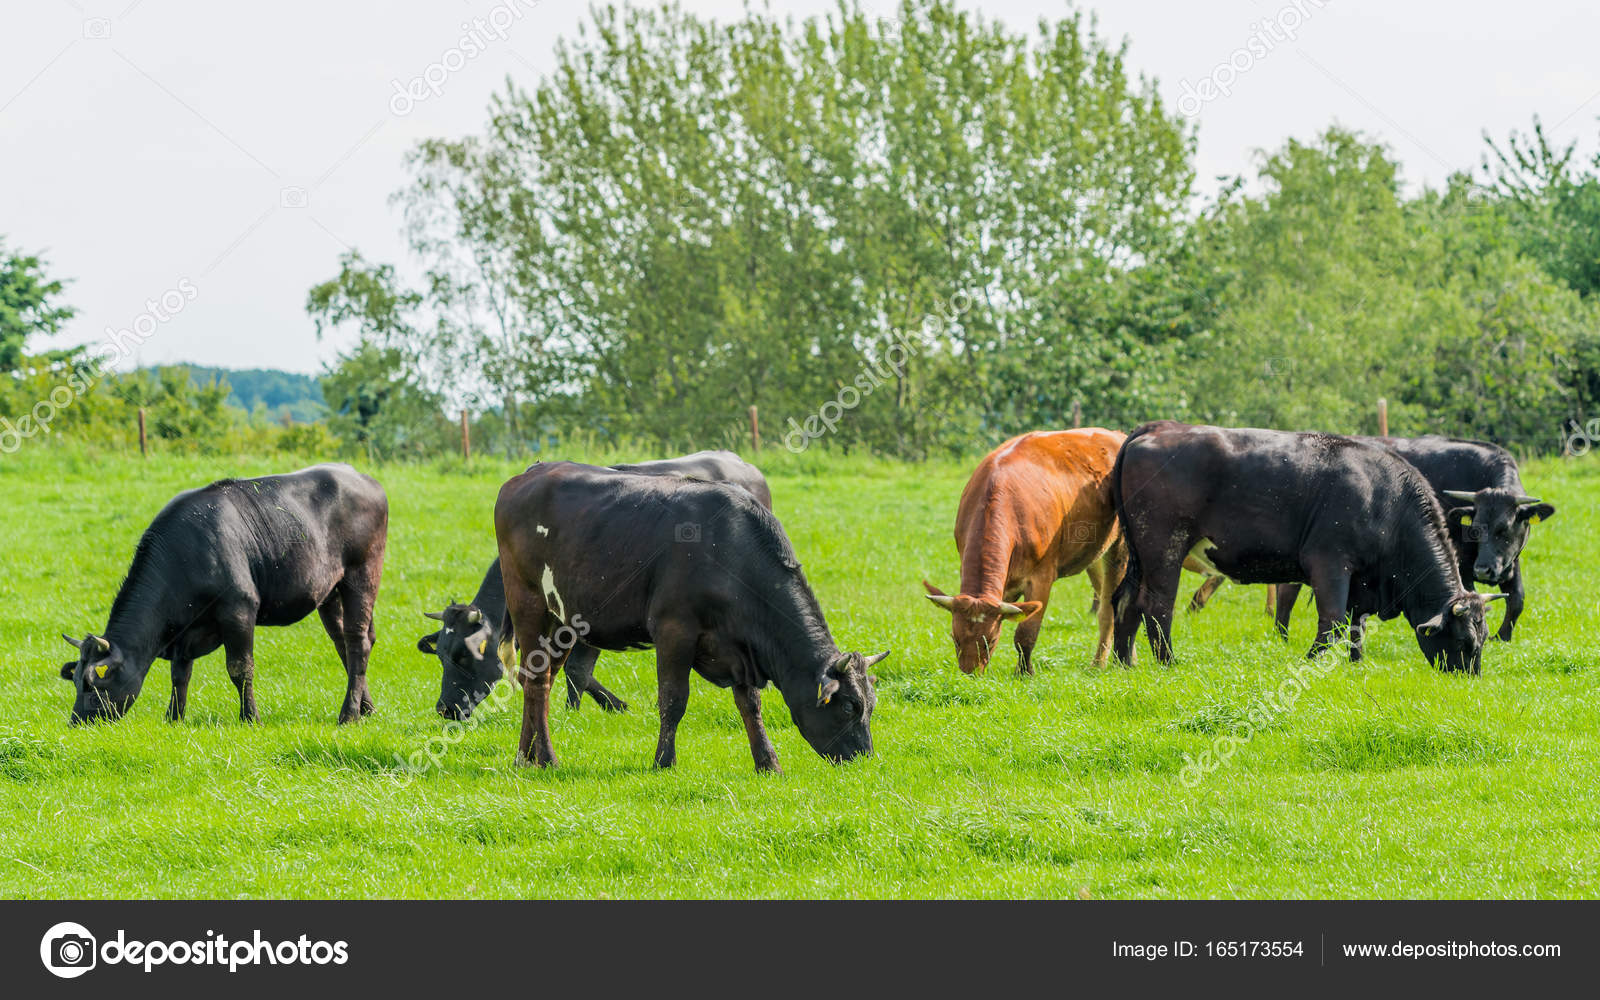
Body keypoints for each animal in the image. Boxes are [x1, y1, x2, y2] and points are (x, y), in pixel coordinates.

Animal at [59, 464, 388, 724]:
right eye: (74, 681)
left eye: (94, 685)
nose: (77, 722)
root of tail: (362, 477)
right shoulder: (184, 631)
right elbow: (179, 674)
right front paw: (174, 718)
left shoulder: (239, 608)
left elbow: (240, 668)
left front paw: (250, 718)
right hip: (330, 592)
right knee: (343, 642)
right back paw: (366, 709)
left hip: (362, 574)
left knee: (357, 642)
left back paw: (348, 715)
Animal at [494, 461, 884, 772]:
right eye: (849, 706)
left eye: (871, 705)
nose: (863, 758)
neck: (729, 551)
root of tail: (531, 472)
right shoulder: (674, 631)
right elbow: (673, 699)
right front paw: (664, 761)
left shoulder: (738, 648)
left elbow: (750, 705)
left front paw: (767, 763)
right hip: (528, 603)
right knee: (537, 681)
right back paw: (546, 758)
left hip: (561, 621)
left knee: (540, 679)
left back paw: (524, 756)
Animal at [922, 429, 1128, 673]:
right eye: (955, 638)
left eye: (991, 640)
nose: (970, 674)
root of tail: (1116, 435)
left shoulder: (1041, 578)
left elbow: (1026, 634)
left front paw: (1024, 672)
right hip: (1095, 555)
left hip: (1120, 548)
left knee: (1110, 610)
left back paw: (1105, 663)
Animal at [1110, 422, 1500, 672]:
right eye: (1465, 643)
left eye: (1483, 639)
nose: (1468, 677)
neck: (1385, 498)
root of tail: (1157, 428)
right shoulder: (1330, 563)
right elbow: (1334, 621)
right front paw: (1311, 663)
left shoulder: (1361, 580)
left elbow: (1356, 625)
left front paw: (1356, 664)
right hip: (1164, 549)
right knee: (1157, 605)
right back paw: (1168, 662)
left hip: (1138, 555)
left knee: (1126, 601)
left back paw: (1122, 662)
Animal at [1273, 436, 1554, 643]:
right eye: (1474, 529)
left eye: (1504, 529)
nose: (1484, 570)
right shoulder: (1461, 564)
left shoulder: (1510, 561)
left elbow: (1517, 599)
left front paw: (1503, 636)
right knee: (1286, 591)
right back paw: (1282, 637)